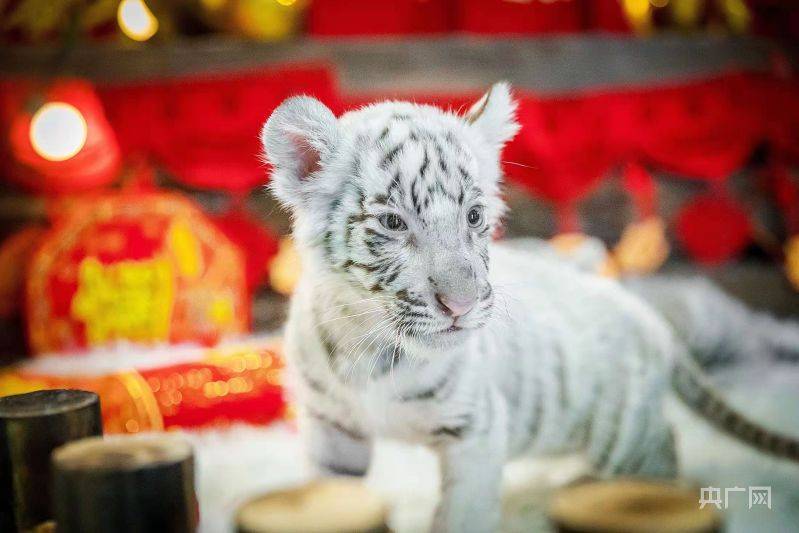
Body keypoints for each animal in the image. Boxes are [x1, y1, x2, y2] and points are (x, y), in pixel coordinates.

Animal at [260, 83, 799, 533]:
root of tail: (647, 316)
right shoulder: (331, 430)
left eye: (474, 216)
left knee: (664, 446)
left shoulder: (476, 429)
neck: (370, 348)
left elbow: (461, 516)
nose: (462, 304)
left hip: (622, 436)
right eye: (393, 223)